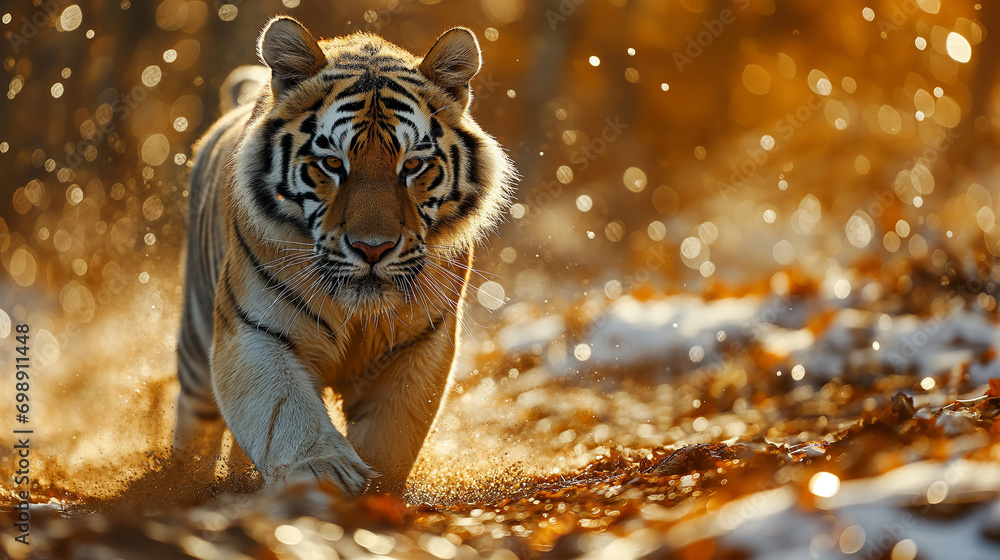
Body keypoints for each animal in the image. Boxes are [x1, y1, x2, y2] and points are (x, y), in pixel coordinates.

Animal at [173, 16, 516, 496]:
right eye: (332, 164)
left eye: (412, 166)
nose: (373, 248)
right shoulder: (254, 328)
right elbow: (284, 411)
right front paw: (321, 475)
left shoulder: (419, 343)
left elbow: (389, 438)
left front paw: (375, 492)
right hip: (195, 342)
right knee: (195, 423)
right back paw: (181, 481)